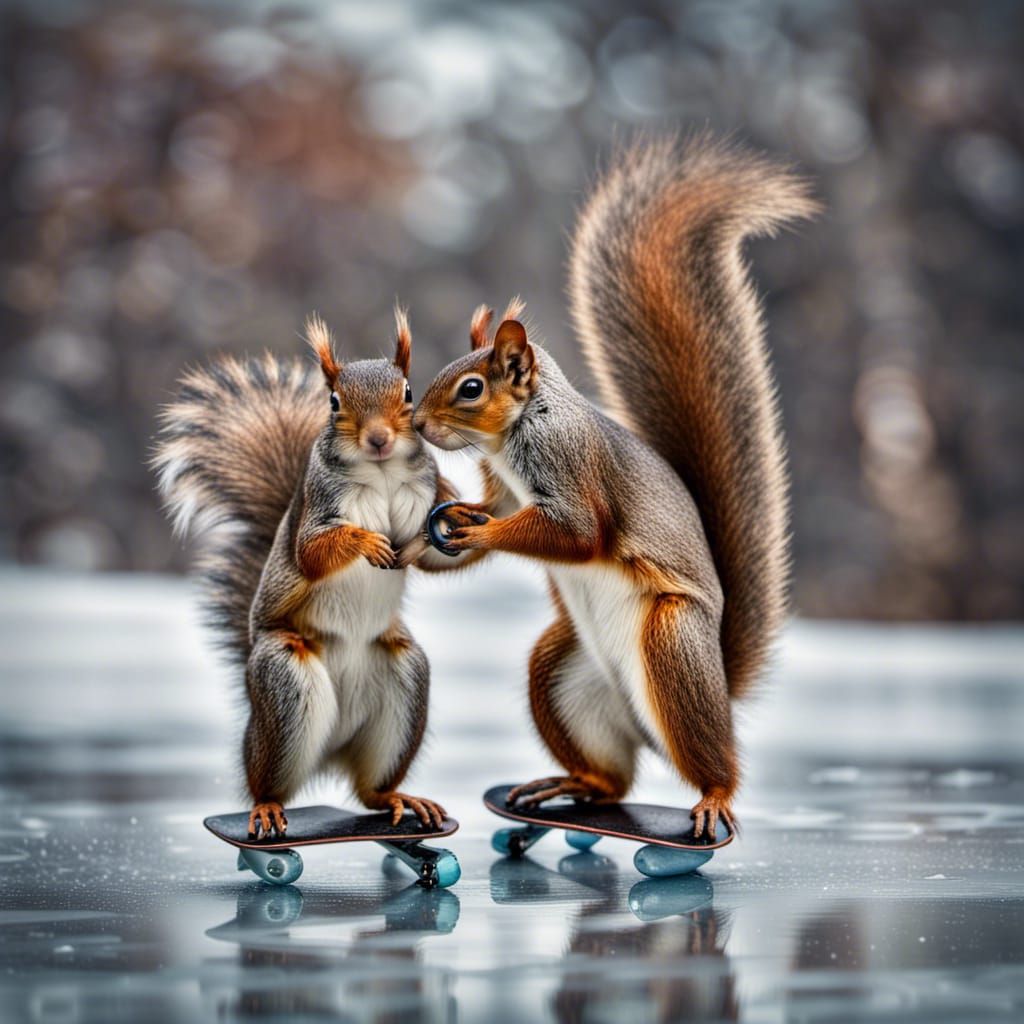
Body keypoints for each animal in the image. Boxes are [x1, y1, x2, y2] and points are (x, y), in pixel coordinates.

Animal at [154, 310, 464, 838]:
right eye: (334, 401)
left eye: (408, 391)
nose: (378, 439)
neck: (381, 472)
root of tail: (331, 753)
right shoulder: (317, 506)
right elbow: (312, 554)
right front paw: (364, 542)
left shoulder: (428, 492)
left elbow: (433, 556)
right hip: (283, 677)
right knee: (264, 778)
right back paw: (266, 806)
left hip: (406, 677)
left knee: (370, 790)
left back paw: (398, 797)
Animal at [412, 134, 818, 836]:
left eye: (471, 388)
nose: (414, 422)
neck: (515, 437)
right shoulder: (505, 487)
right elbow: (496, 508)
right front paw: (451, 522)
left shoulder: (568, 466)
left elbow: (578, 534)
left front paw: (481, 531)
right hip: (561, 670)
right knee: (613, 778)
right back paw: (568, 784)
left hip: (672, 641)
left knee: (714, 762)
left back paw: (713, 796)